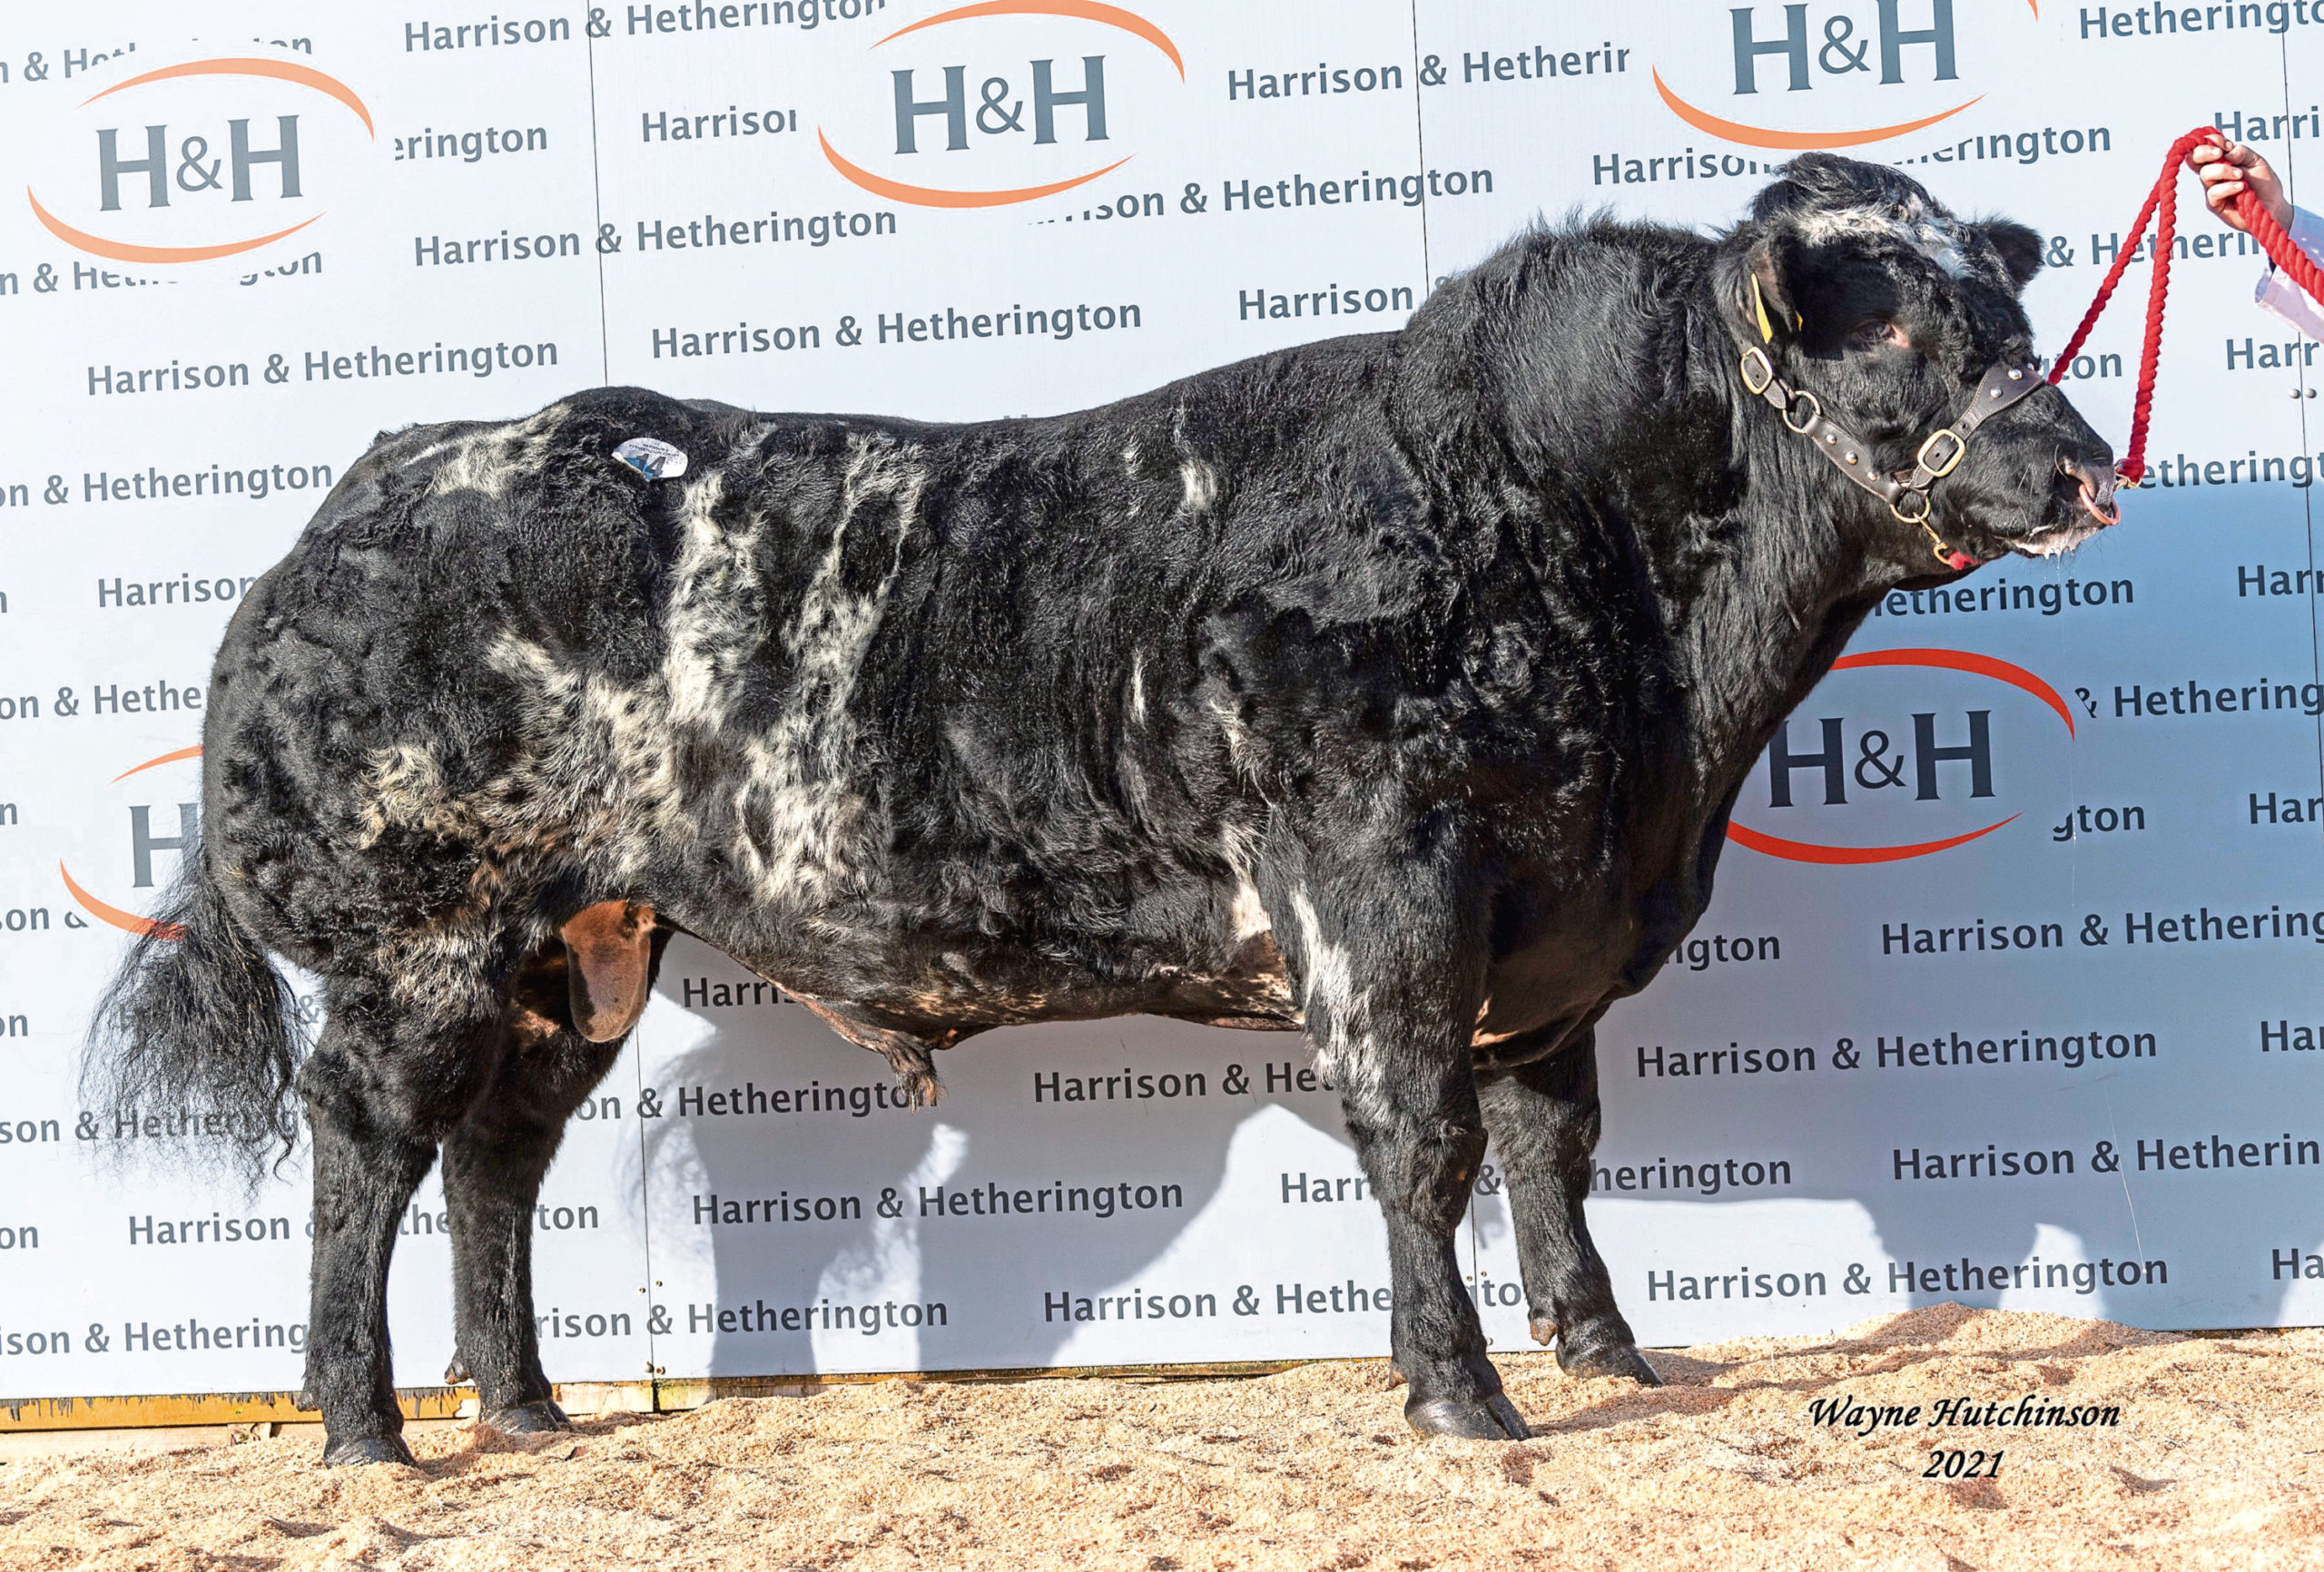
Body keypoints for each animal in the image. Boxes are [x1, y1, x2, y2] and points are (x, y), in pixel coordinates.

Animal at [89, 153, 2117, 1465]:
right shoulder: (1384, 887)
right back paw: (368, 1429)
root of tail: (373, 485)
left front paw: (1611, 1356)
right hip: (421, 929)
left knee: (499, 1156)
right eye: (1890, 336)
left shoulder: (1550, 920)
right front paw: (1461, 1397)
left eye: (2007, 305)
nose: (2084, 466)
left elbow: (1555, 1145)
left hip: (573, 942)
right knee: (370, 1138)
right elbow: (1426, 1139)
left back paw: (524, 1405)